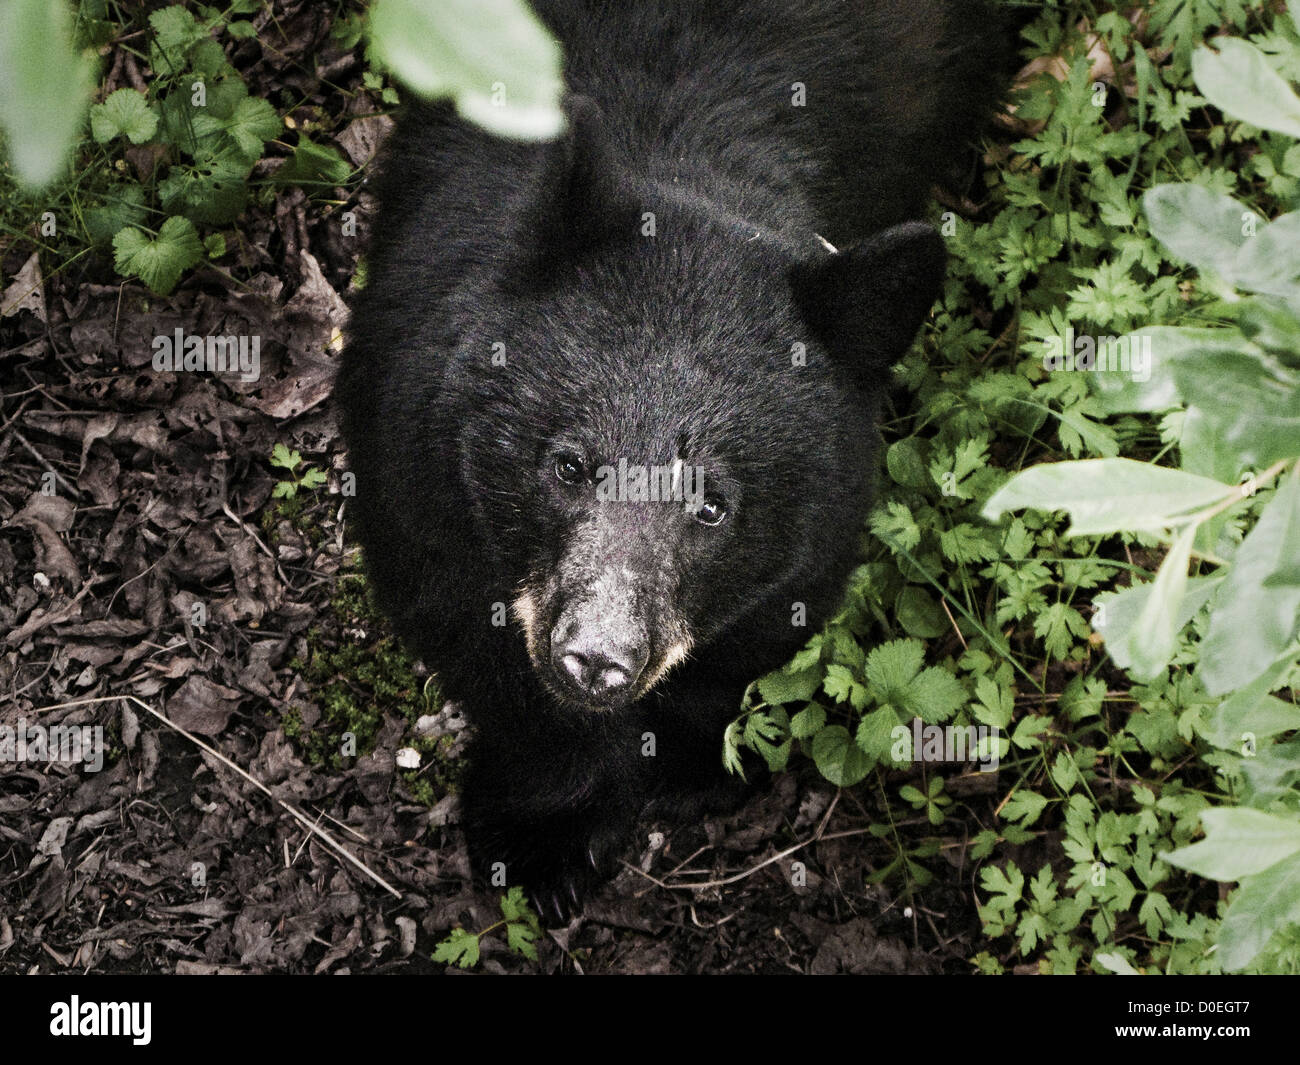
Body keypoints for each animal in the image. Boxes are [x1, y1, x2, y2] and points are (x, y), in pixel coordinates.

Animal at [336, 0, 1004, 921]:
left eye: (712, 502)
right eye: (569, 465)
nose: (597, 657)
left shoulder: (822, 524)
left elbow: (756, 632)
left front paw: (695, 767)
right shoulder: (417, 443)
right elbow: (471, 628)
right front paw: (543, 834)